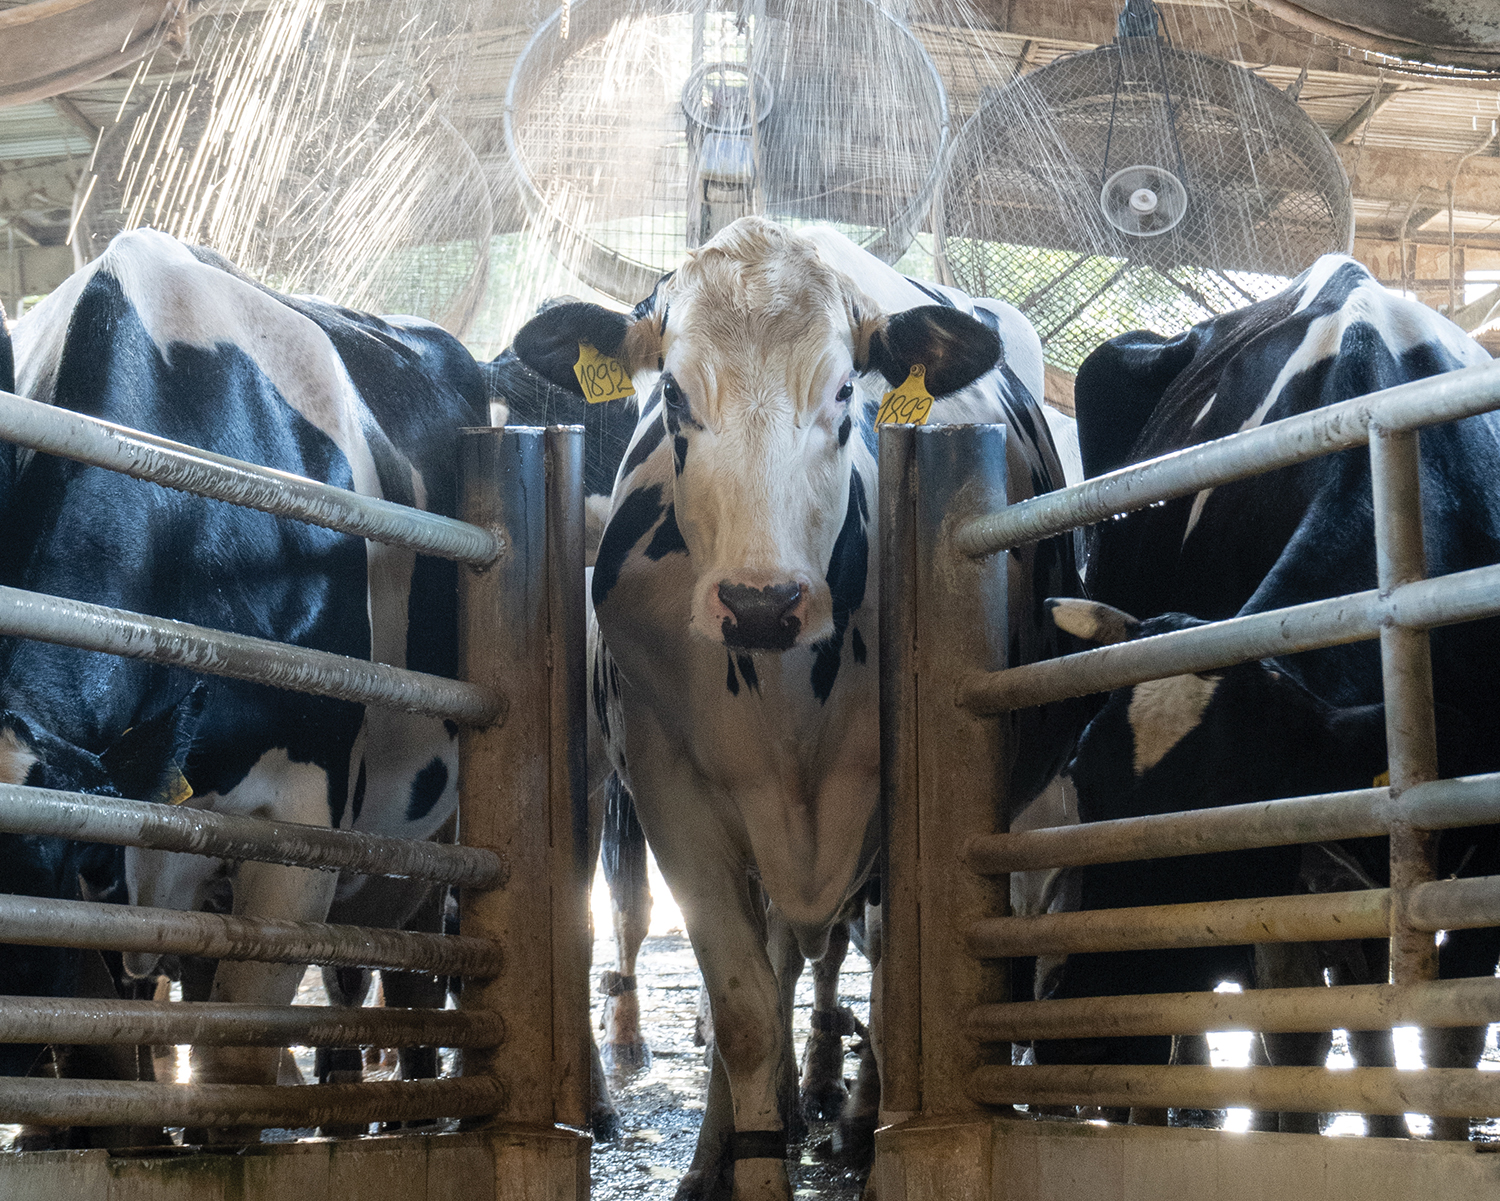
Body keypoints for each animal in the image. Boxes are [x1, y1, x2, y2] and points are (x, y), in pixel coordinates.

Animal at [511, 216, 1079, 1200]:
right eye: (675, 397)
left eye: (847, 389)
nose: (760, 602)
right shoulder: (675, 800)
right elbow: (742, 1014)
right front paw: (749, 1156)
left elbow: (900, 996)